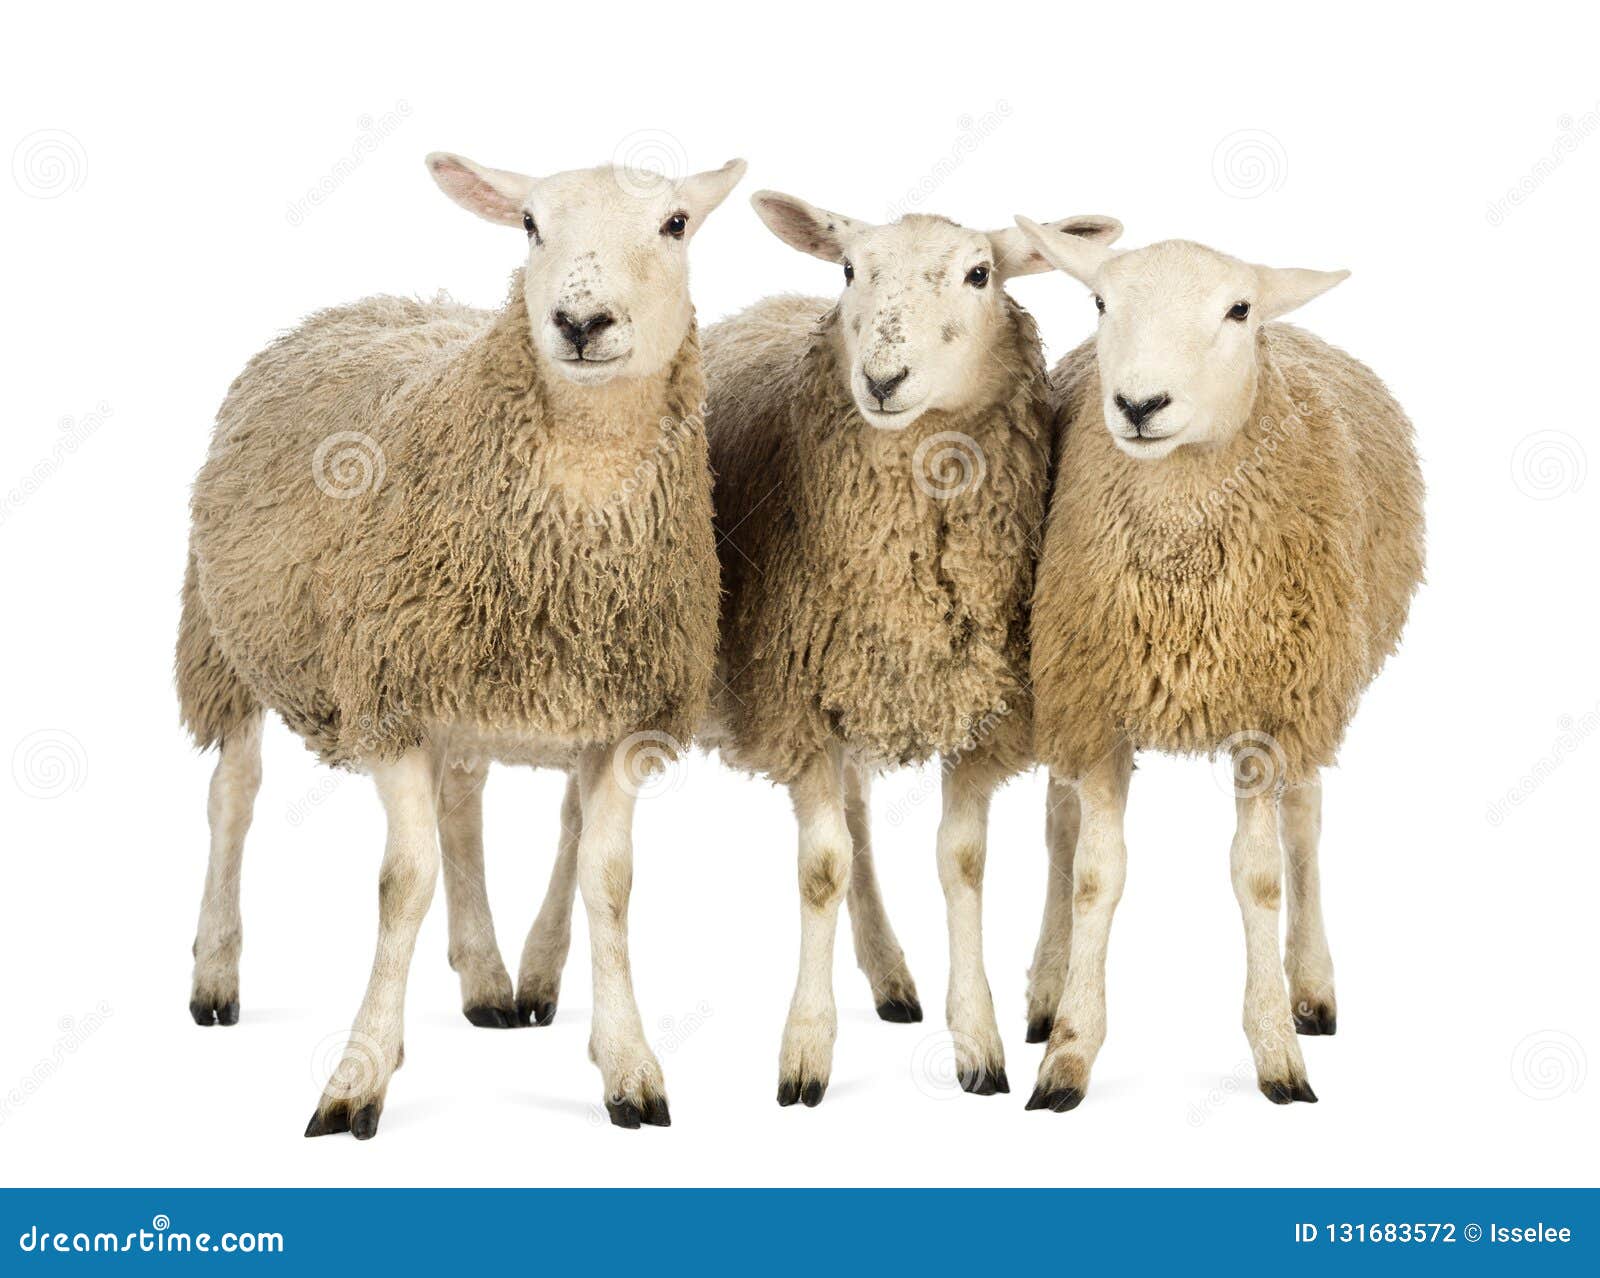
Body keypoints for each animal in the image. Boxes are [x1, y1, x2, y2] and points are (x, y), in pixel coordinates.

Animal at [176, 151, 746, 1137]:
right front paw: (358, 1075)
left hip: (469, 679)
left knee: (462, 802)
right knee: (232, 798)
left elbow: (609, 881)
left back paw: (486, 978)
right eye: (529, 223)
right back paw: (215, 973)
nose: (580, 322)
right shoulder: (388, 696)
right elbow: (402, 883)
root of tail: (359, 302)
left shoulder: (623, 718)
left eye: (675, 223)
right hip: (224, 635)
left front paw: (628, 1065)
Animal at [1010, 220, 1424, 1111]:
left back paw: (1312, 990)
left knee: (1304, 824)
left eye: (1236, 310)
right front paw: (1068, 1050)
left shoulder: (1267, 709)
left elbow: (1259, 875)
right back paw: (1046, 987)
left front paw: (1276, 1051)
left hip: (1315, 685)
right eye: (1101, 302)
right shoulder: (1097, 700)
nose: (1139, 405)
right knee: (1058, 828)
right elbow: (1093, 872)